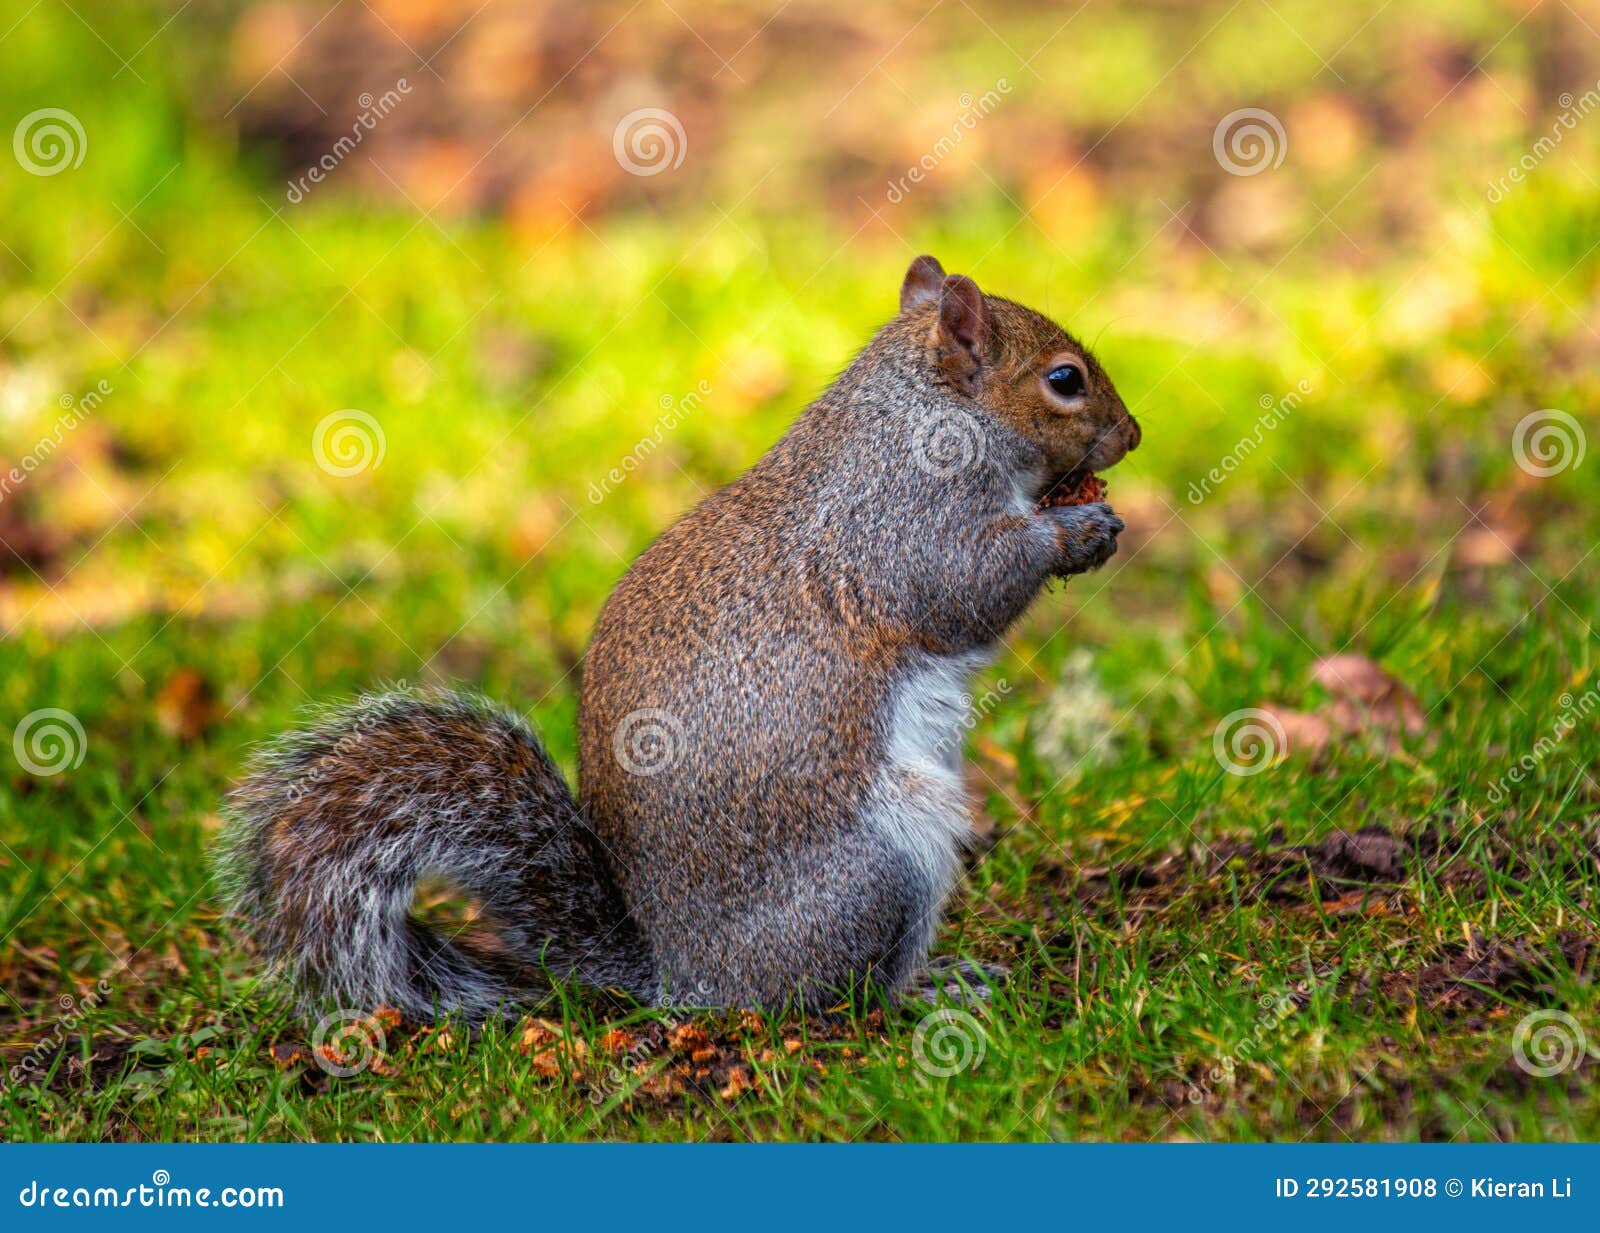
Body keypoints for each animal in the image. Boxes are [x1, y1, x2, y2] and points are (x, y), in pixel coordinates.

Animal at [218, 255, 1140, 1020]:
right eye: (1064, 379)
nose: (1131, 436)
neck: (925, 412)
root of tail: (683, 977)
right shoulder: (901, 522)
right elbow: (960, 585)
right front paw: (1076, 533)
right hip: (882, 865)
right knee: (836, 993)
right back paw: (916, 993)